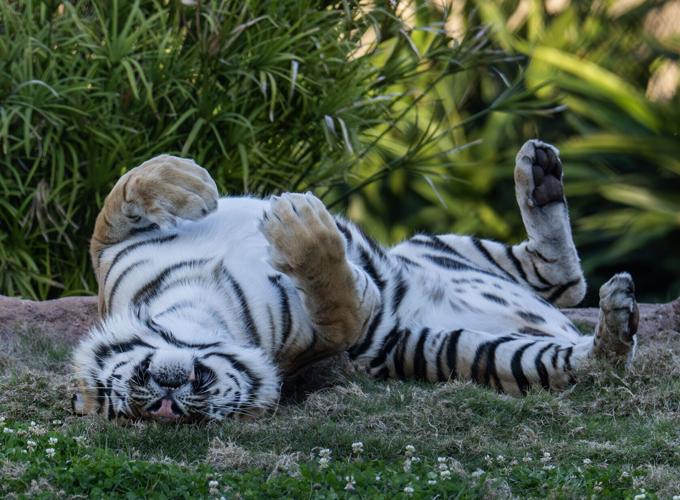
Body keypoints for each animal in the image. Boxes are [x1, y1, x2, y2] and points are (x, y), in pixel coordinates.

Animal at [72, 139, 639, 422]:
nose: (170, 400)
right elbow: (342, 314)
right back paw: (616, 319)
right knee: (590, 355)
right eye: (144, 410)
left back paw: (540, 174)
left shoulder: (109, 255)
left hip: (436, 245)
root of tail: (553, 327)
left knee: (562, 278)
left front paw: (189, 181)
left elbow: (115, 202)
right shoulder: (320, 344)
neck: (201, 311)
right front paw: (307, 237)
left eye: (140, 393)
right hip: (469, 352)